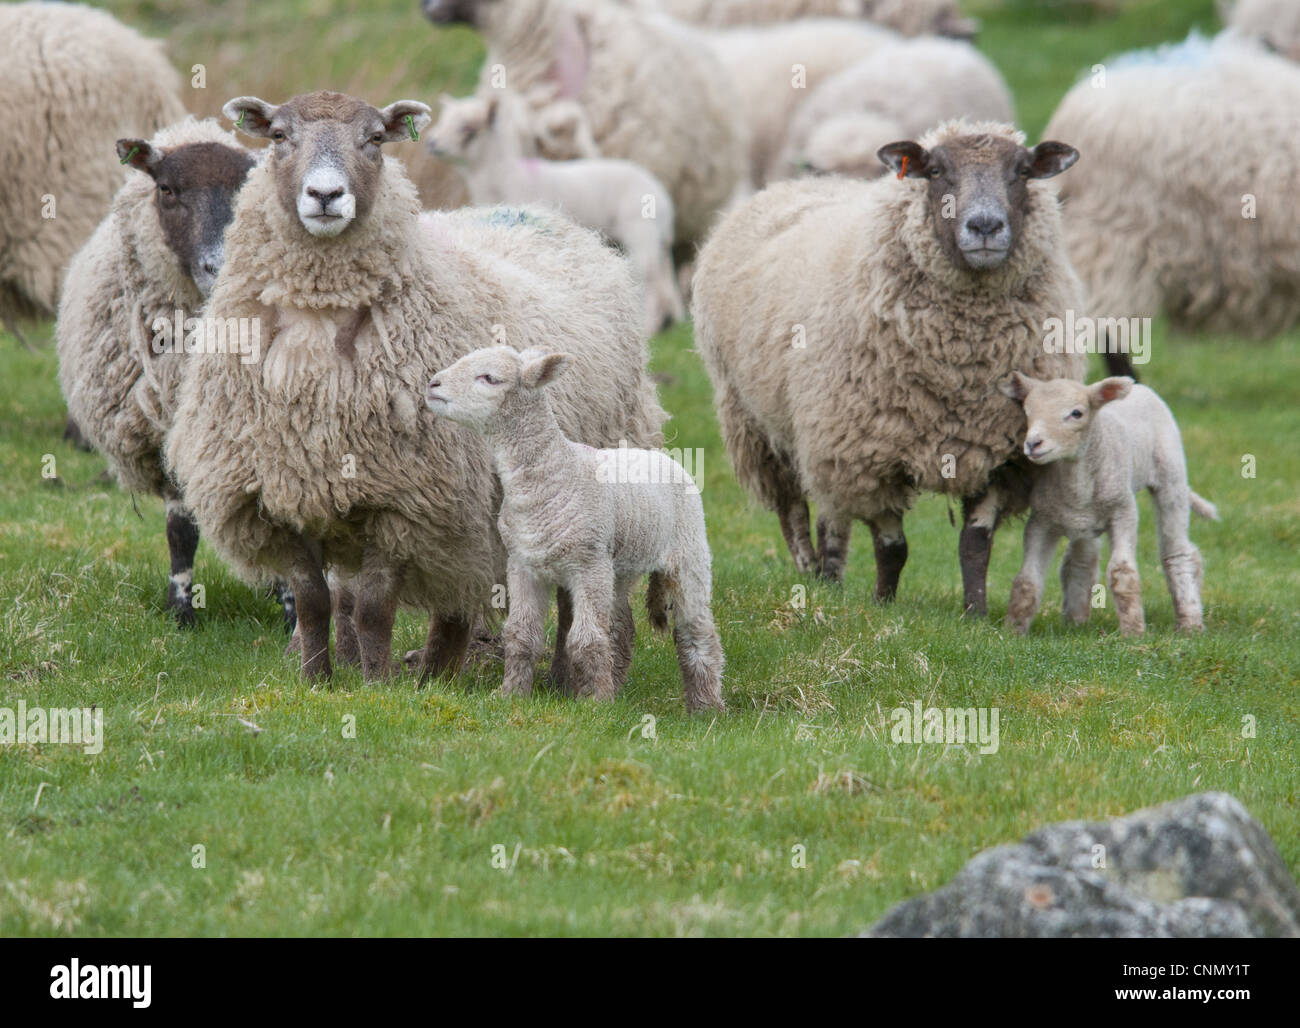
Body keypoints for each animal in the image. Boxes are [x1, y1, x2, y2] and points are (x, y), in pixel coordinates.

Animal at [56, 118, 259, 628]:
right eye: (167, 189)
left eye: (245, 190)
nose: (216, 266)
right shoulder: (161, 430)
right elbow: (181, 530)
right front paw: (181, 611)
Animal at [426, 93, 683, 338]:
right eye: (443, 120)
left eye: (467, 128)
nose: (432, 142)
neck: (502, 177)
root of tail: (662, 196)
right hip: (655, 239)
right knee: (664, 275)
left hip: (641, 231)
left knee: (648, 277)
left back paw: (650, 326)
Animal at [427, 346, 725, 711]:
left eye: (489, 378)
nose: (432, 384)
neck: (554, 473)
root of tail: (664, 457)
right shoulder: (522, 564)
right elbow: (521, 634)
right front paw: (511, 693)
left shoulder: (588, 563)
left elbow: (586, 637)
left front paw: (595, 703)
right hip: (620, 566)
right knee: (621, 627)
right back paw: (618, 685)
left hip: (688, 550)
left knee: (696, 632)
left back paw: (706, 707)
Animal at [692, 120, 1086, 615]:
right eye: (935, 171)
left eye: (1022, 171)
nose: (985, 226)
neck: (961, 367)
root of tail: (791, 184)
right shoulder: (869, 452)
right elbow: (892, 547)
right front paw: (882, 605)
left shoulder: (1001, 452)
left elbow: (975, 544)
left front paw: (975, 614)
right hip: (760, 424)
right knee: (794, 512)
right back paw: (813, 574)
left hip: (819, 434)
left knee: (831, 515)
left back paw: (829, 578)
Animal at [998, 374, 1218, 636]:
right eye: (1027, 411)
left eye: (1077, 413)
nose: (1033, 444)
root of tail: (1140, 388)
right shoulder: (1040, 521)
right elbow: (1027, 579)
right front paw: (1013, 631)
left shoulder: (1124, 512)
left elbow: (1121, 573)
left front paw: (1134, 632)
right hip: (1083, 523)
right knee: (1080, 562)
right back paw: (1076, 621)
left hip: (1171, 476)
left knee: (1178, 551)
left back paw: (1190, 622)